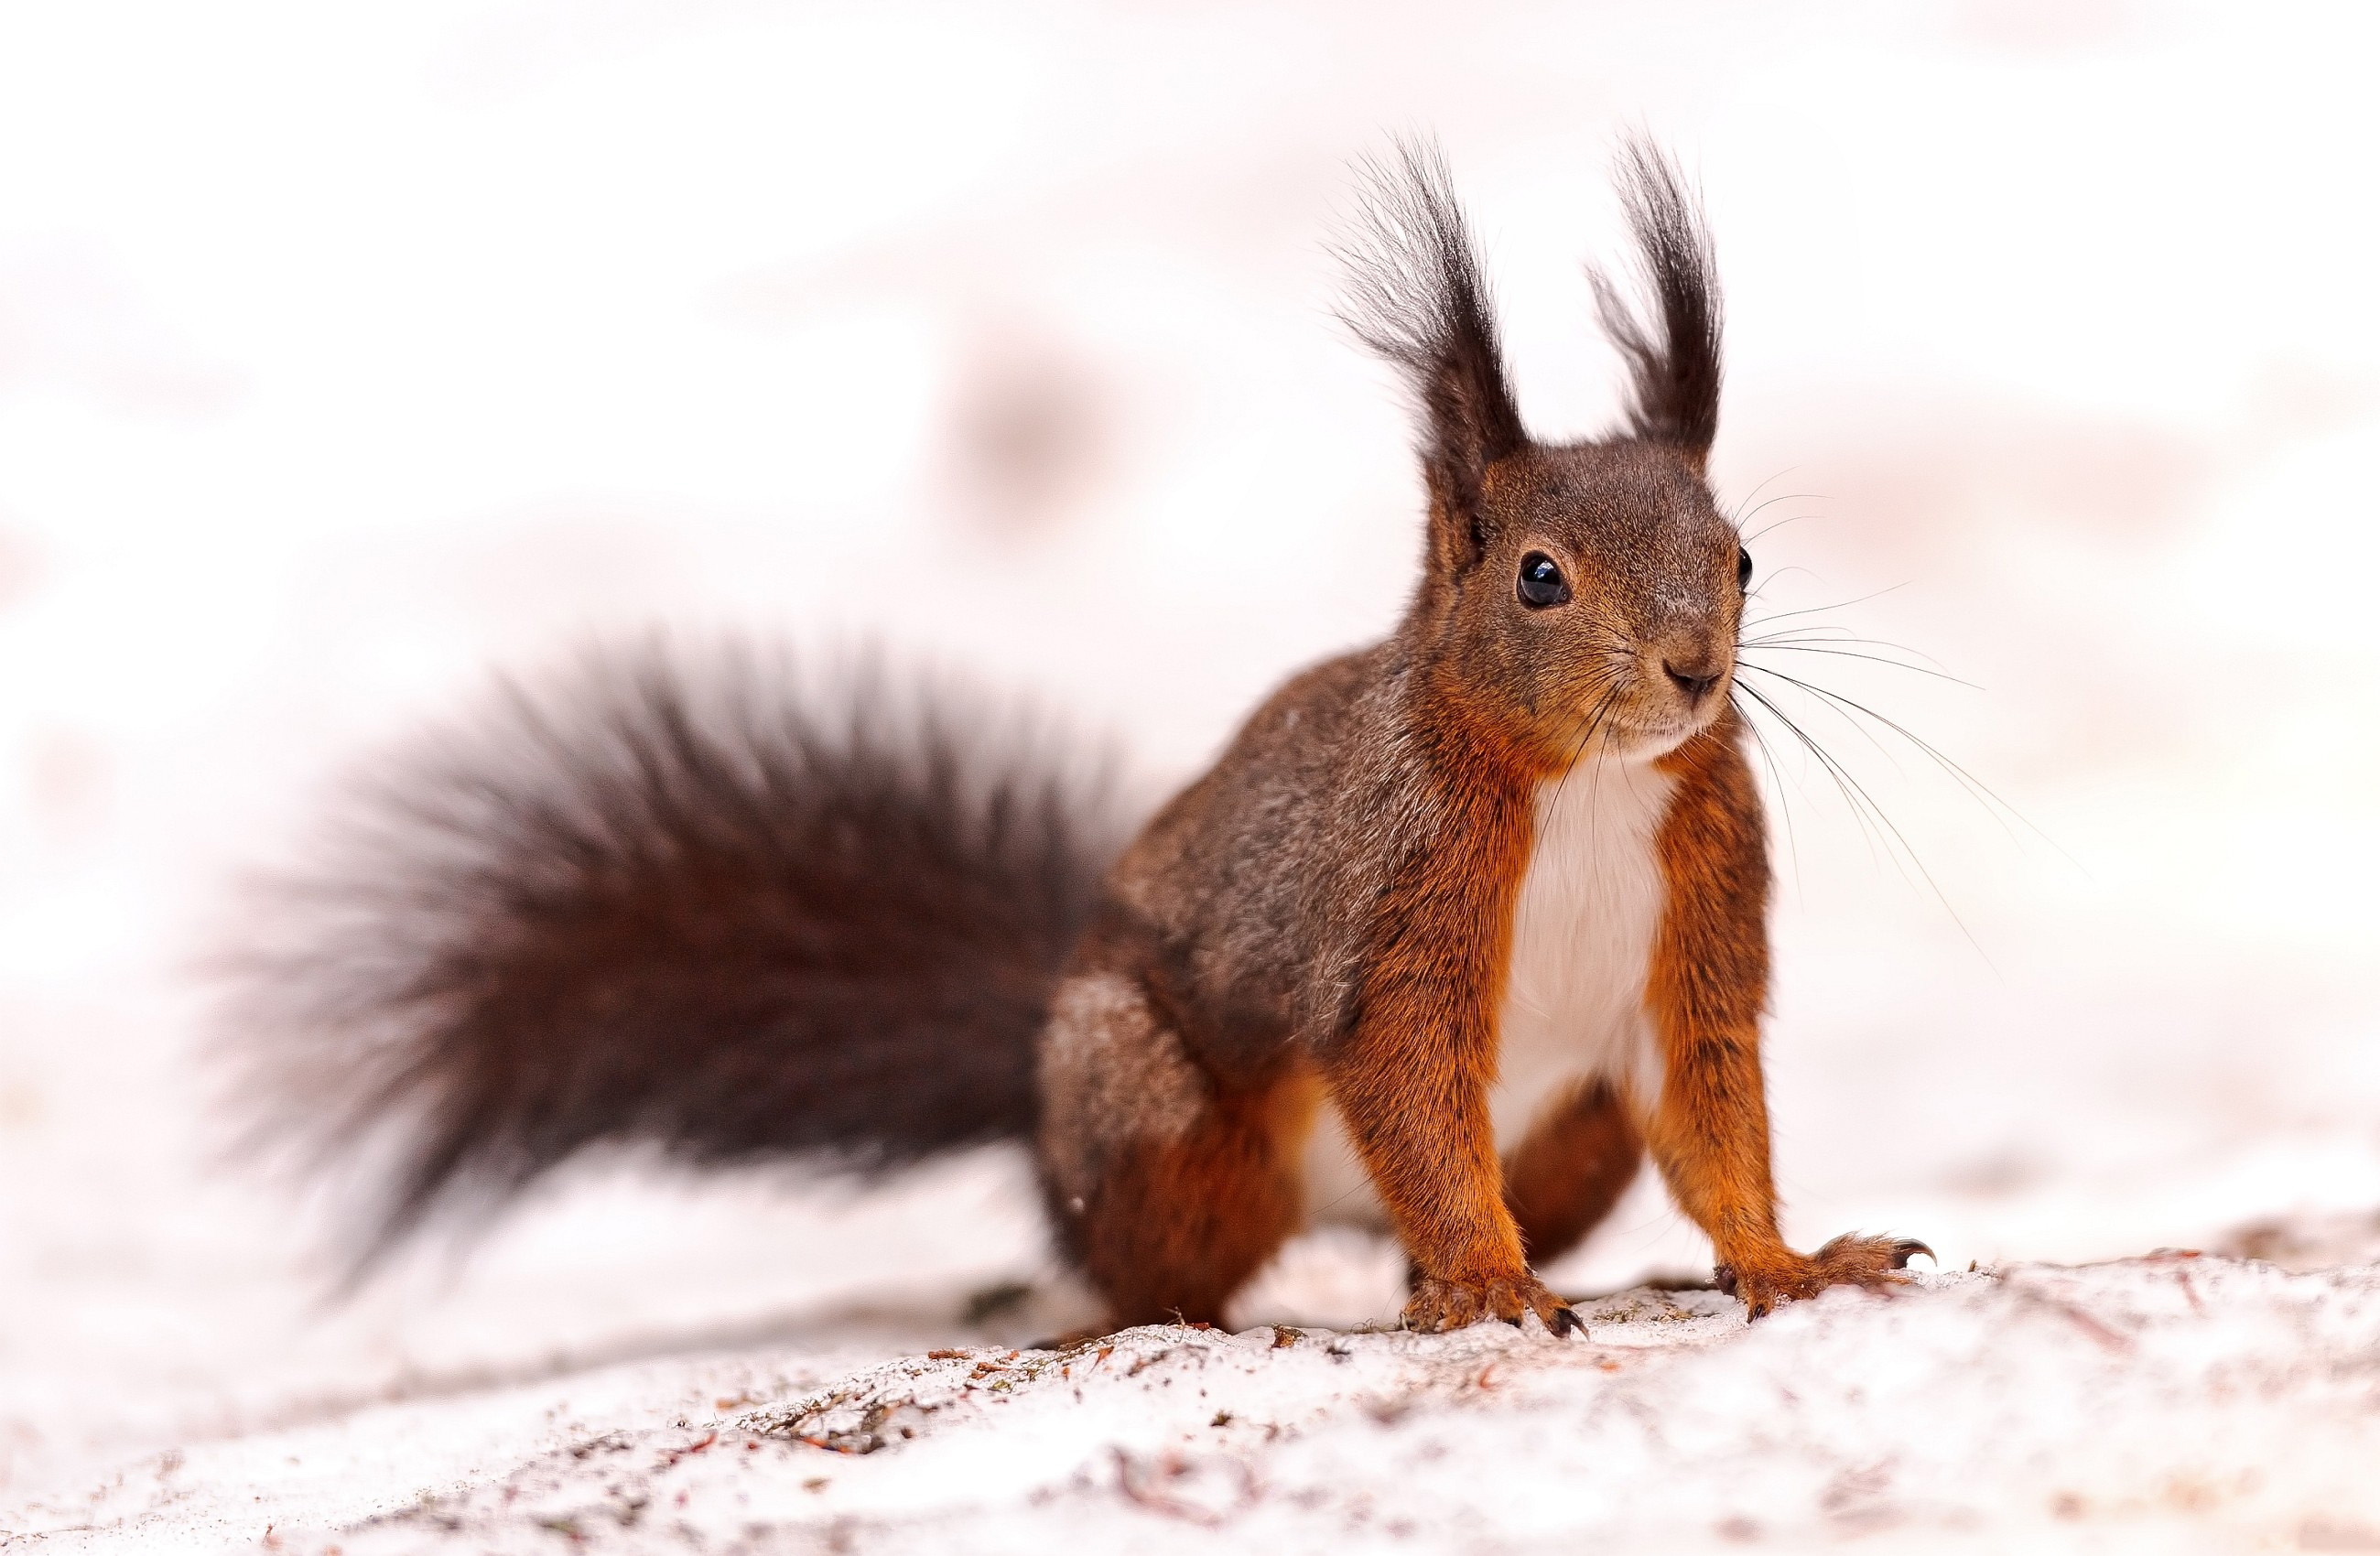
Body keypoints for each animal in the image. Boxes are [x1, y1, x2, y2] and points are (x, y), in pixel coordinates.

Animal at [221, 137, 1928, 1336]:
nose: (1694, 672)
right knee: (1154, 1264)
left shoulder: (1700, 914)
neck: (1582, 788)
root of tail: (1038, 1080)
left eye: (1742, 557)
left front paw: (1790, 1258)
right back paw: (1136, 1306)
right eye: (1540, 577)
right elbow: (1412, 1091)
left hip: (1573, 1144)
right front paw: (1494, 1286)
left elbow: (1714, 1109)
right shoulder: (1391, 914)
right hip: (1155, 1109)